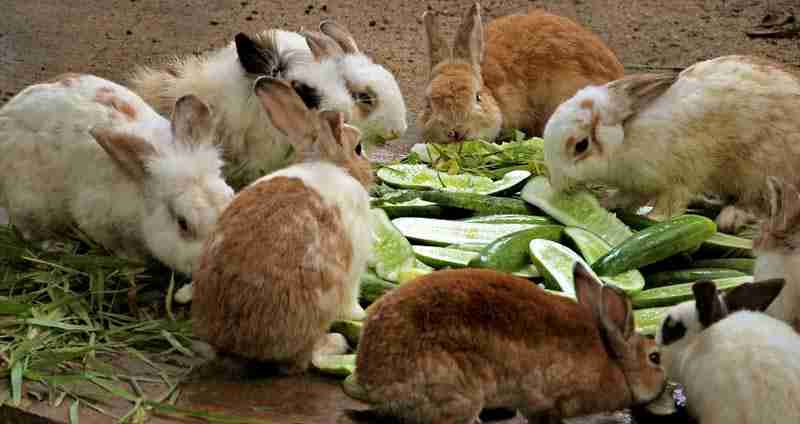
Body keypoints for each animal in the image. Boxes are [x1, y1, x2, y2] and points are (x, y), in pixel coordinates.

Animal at [0, 73, 234, 275]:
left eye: (231, 196)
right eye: (183, 223)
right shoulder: (98, 219)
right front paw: (136, 261)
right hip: (29, 203)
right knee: (31, 232)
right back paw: (58, 245)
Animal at [191, 76, 374, 375]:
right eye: (358, 148)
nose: (372, 173)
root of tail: (237, 344)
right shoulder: (353, 269)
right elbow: (352, 301)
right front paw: (362, 314)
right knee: (303, 359)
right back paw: (335, 342)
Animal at [346, 264, 666, 424]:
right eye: (655, 358)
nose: (665, 386)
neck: (615, 360)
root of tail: (373, 379)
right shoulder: (554, 401)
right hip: (457, 389)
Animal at [542, 55, 800, 234]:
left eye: (581, 145)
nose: (557, 184)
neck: (625, 139)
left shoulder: (679, 178)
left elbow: (670, 202)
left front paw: (655, 220)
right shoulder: (636, 185)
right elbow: (626, 197)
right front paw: (606, 202)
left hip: (763, 168)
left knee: (758, 203)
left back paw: (730, 217)